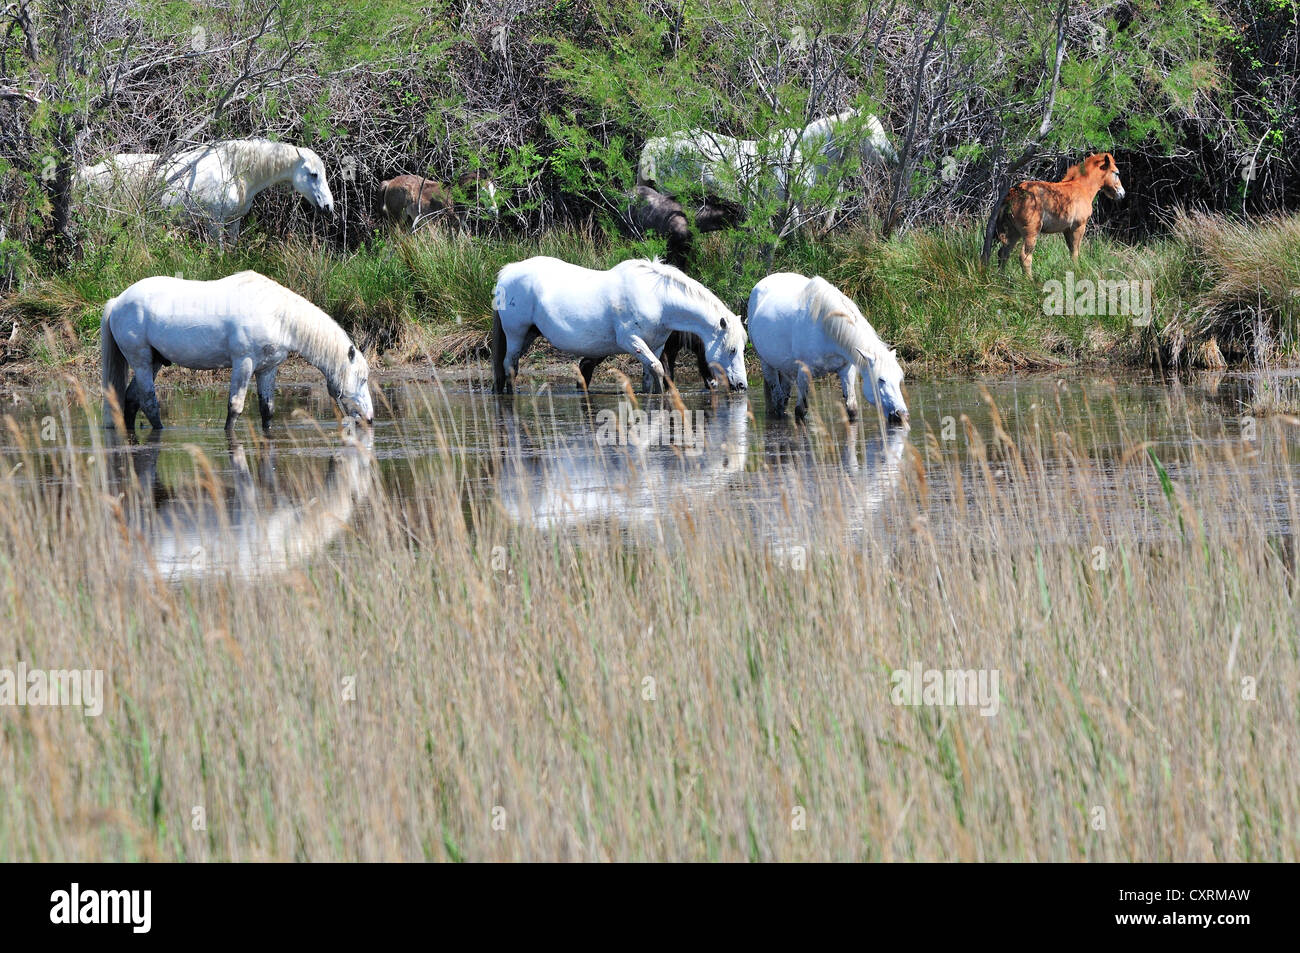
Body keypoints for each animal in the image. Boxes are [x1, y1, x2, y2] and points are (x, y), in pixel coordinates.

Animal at [78, 139, 335, 243]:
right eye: (313, 174)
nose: (328, 207)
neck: (235, 171)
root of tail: (92, 171)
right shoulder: (214, 223)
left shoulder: (233, 222)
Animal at [101, 271, 373, 434]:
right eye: (362, 379)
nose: (369, 418)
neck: (278, 315)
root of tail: (118, 301)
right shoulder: (243, 363)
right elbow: (235, 407)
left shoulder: (267, 369)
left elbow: (267, 409)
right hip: (141, 362)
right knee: (148, 402)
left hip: (155, 362)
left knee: (131, 399)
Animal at [491, 257, 748, 394]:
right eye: (732, 349)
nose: (741, 385)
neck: (657, 299)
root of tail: (507, 272)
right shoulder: (631, 341)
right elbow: (659, 370)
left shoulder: (655, 346)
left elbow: (650, 375)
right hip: (516, 333)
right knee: (509, 365)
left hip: (529, 335)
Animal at [747, 273, 908, 424]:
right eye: (881, 379)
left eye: (899, 378)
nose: (901, 414)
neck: (826, 328)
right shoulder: (804, 371)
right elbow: (800, 411)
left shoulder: (846, 370)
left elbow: (852, 410)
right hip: (766, 363)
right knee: (778, 399)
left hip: (785, 368)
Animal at [992, 152, 1126, 279]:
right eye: (1117, 173)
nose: (1122, 193)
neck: (1082, 187)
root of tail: (1012, 194)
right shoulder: (1078, 227)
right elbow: (1076, 253)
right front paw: (1077, 273)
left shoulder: (1066, 230)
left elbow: (1071, 252)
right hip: (1031, 232)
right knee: (1025, 257)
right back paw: (1030, 281)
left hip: (1013, 232)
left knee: (1003, 253)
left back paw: (1001, 278)